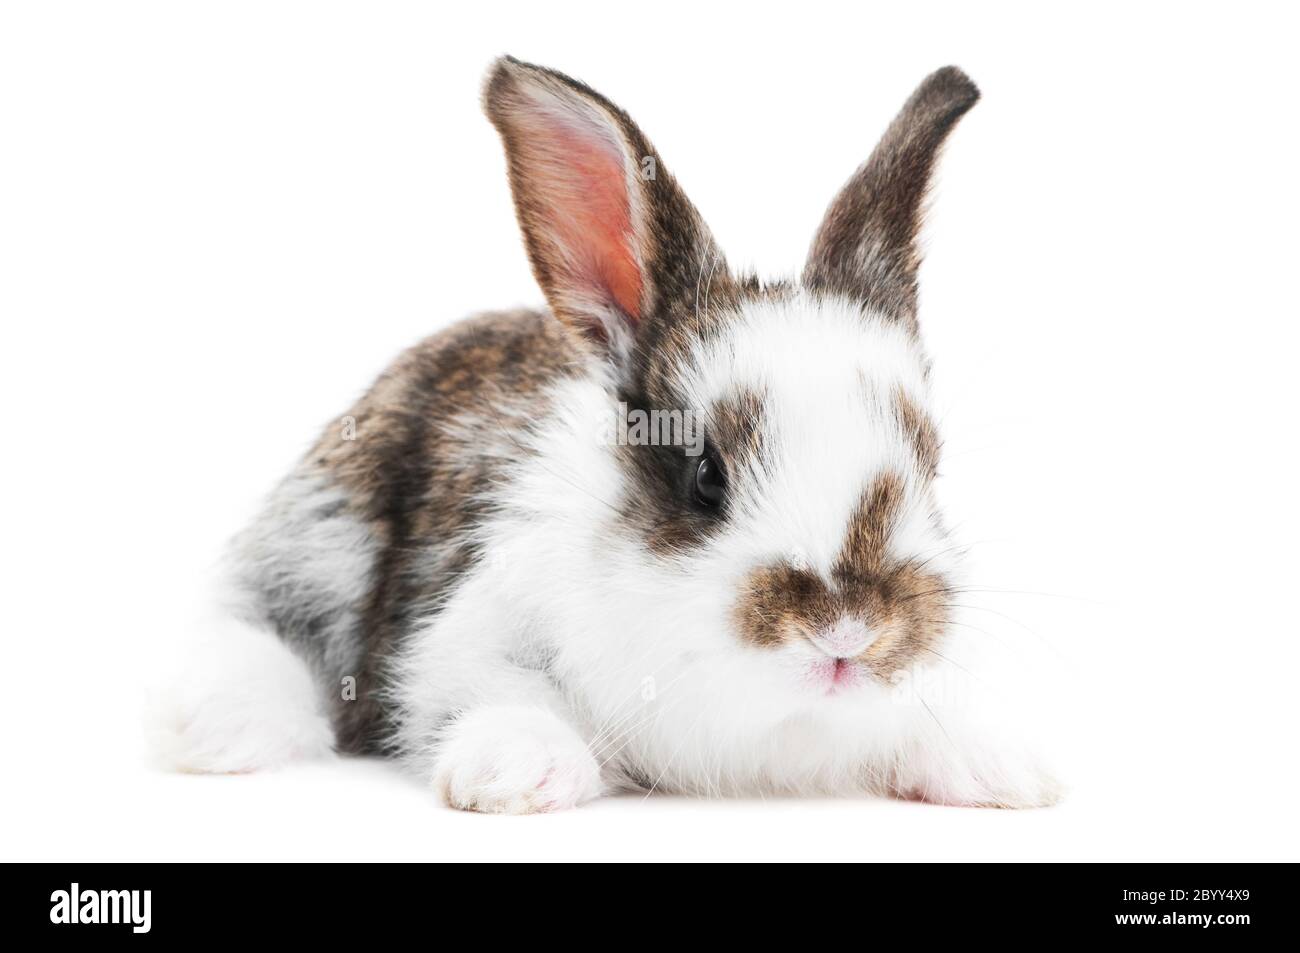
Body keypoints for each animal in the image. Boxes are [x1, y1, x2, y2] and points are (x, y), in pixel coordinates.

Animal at [157, 56, 1060, 813]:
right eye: (705, 477)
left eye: (929, 470)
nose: (848, 633)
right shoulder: (464, 637)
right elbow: (493, 690)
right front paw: (518, 769)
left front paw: (1002, 768)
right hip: (319, 546)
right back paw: (215, 730)